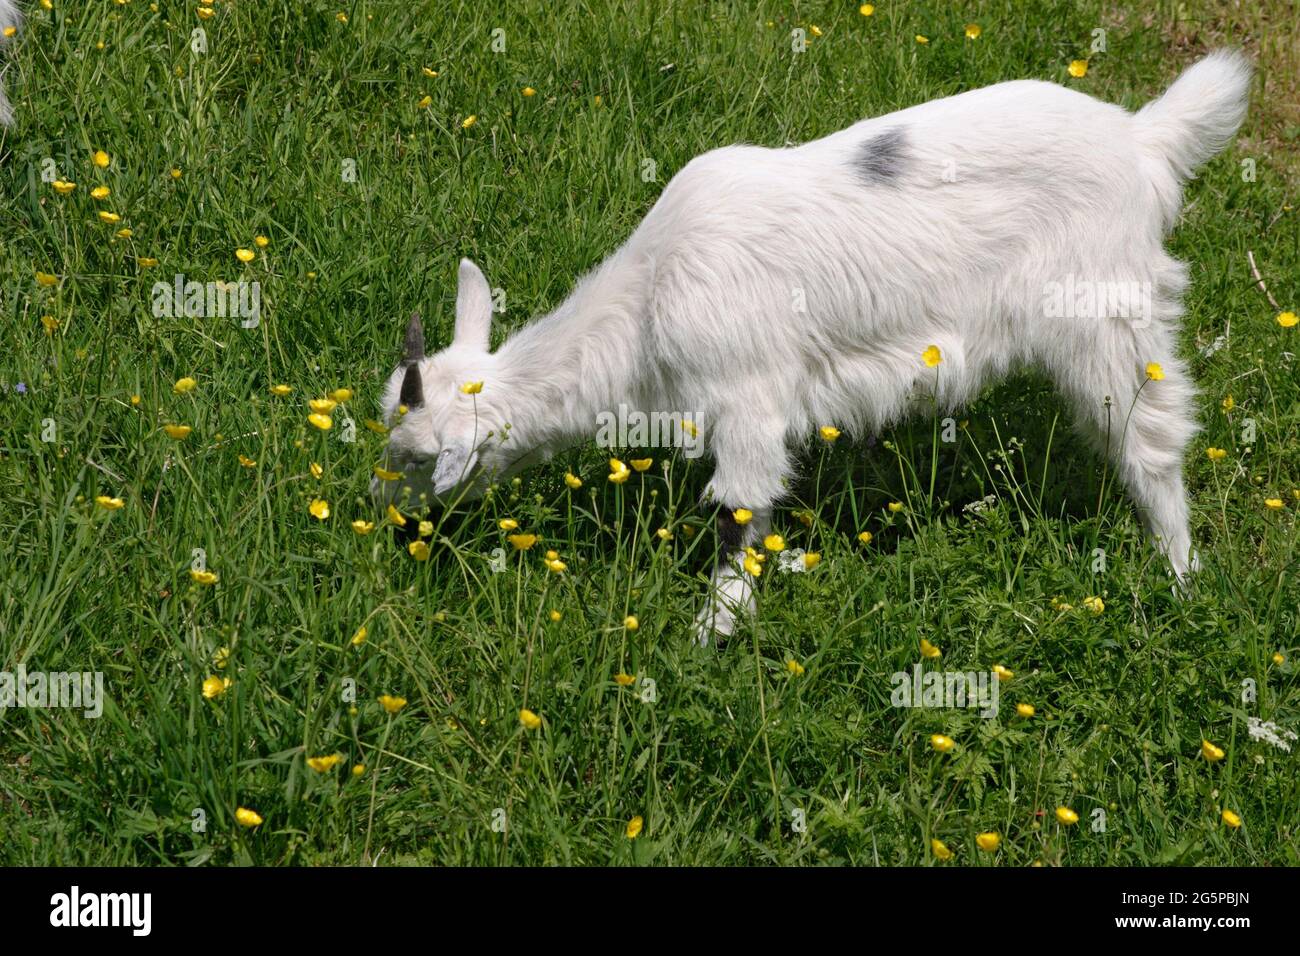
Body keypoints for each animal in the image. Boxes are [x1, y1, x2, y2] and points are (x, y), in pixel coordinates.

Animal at [373, 51, 1252, 643]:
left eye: (415, 458)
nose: (394, 525)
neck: (649, 300)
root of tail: (1143, 140)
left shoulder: (748, 394)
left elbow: (738, 508)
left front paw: (713, 630)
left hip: (1107, 312)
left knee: (1151, 439)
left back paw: (1180, 579)